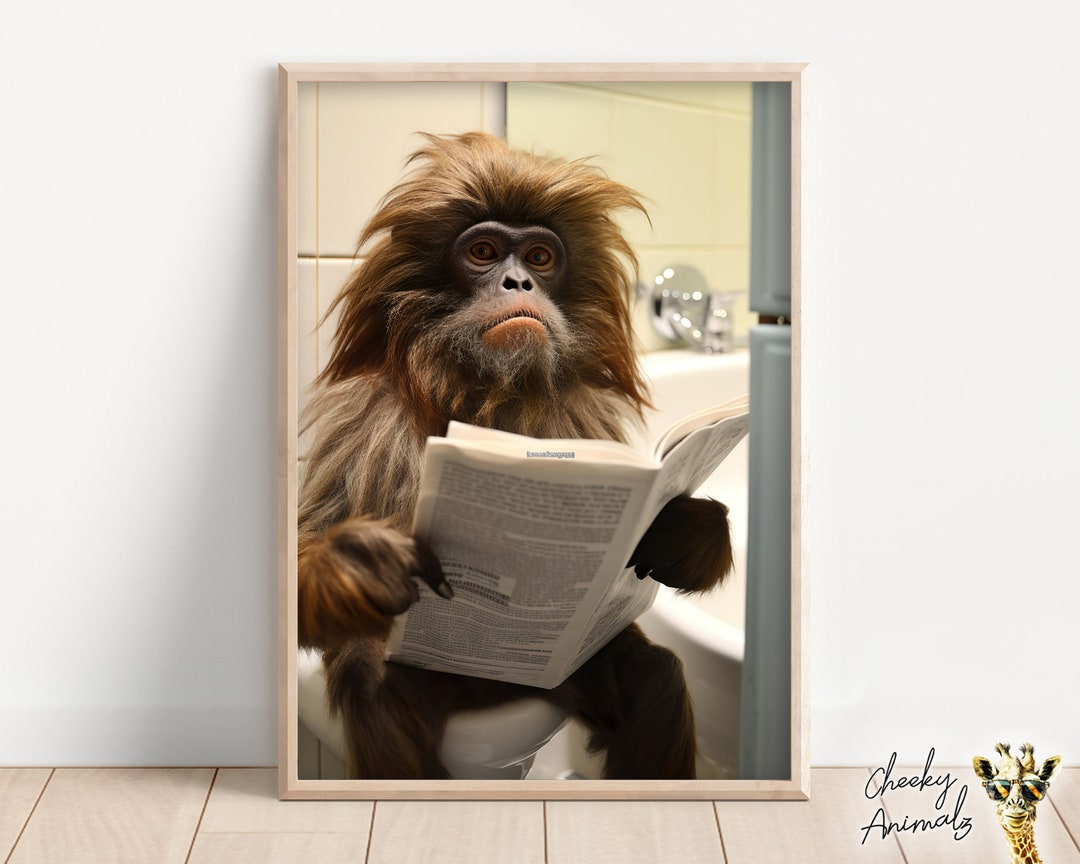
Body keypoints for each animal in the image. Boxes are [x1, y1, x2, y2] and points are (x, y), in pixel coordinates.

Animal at [297, 131, 734, 779]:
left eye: (540, 258)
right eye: (482, 251)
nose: (518, 284)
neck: (485, 393)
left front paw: (683, 528)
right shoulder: (364, 415)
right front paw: (360, 562)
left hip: (555, 679)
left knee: (651, 676)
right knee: (374, 682)